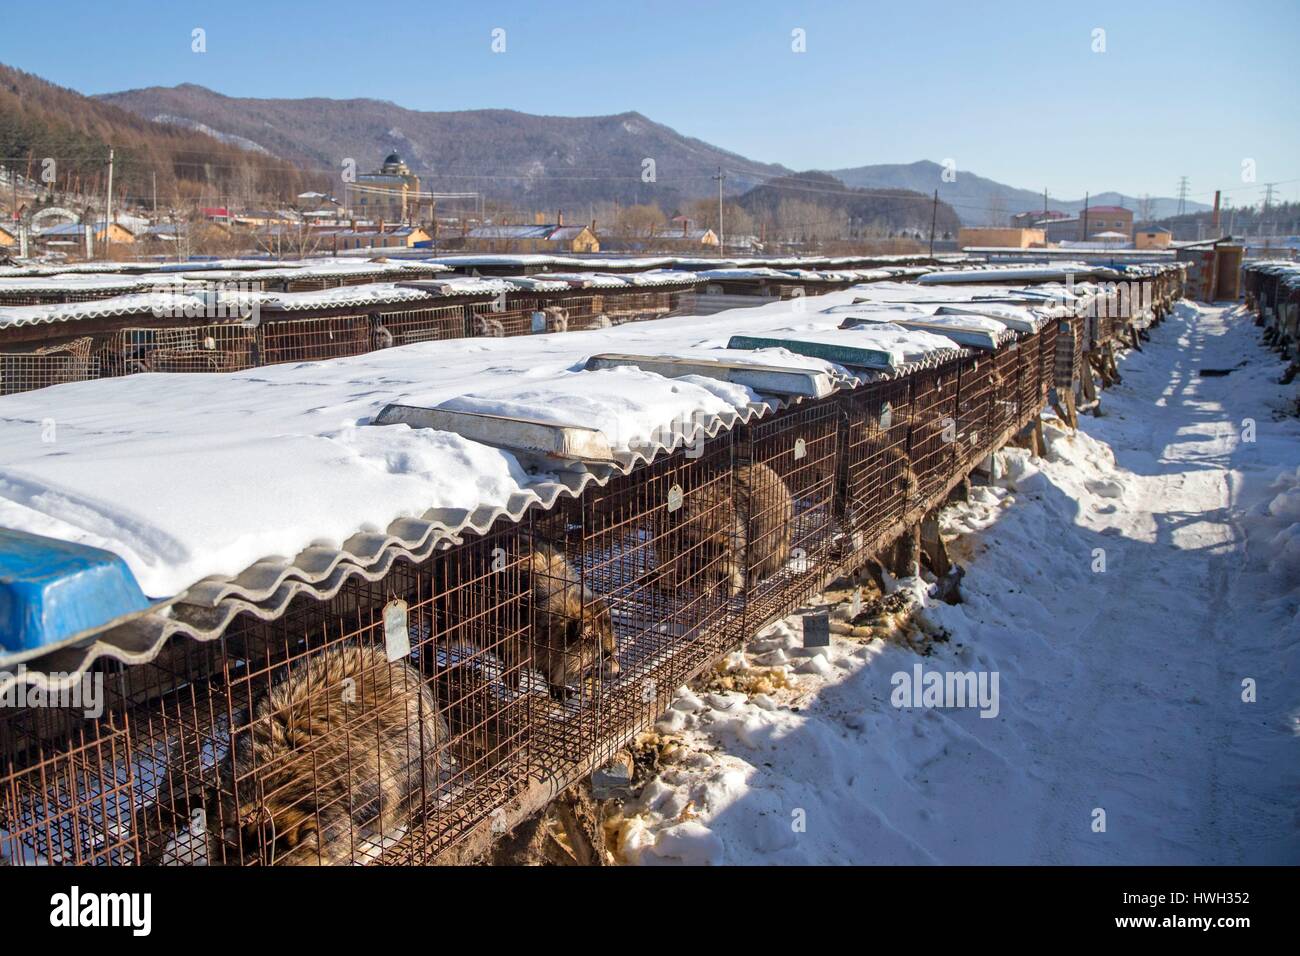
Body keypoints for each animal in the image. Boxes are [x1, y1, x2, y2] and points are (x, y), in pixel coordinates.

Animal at [658, 462, 794, 597]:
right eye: (698, 576)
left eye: (714, 574)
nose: (704, 594)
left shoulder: (736, 534)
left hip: (769, 529)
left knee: (758, 555)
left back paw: (753, 580)